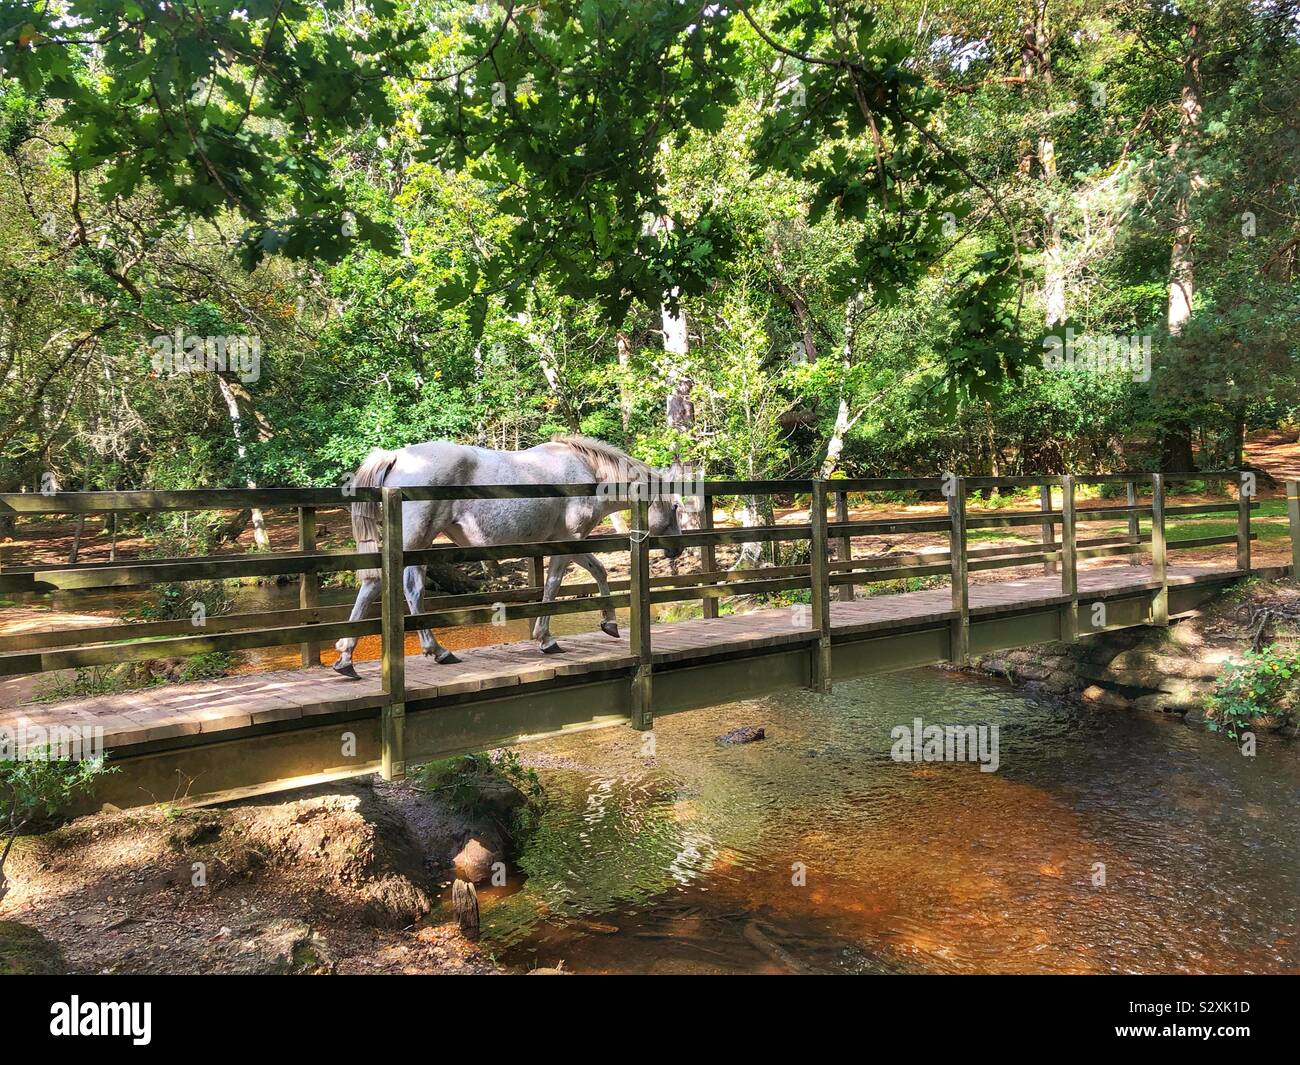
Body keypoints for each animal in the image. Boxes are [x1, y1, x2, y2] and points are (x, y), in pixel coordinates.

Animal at [331, 435, 688, 679]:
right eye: (675, 506)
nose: (677, 549)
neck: (588, 473)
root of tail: (395, 456)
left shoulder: (566, 542)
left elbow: (598, 571)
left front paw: (610, 624)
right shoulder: (568, 542)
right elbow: (554, 587)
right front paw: (546, 639)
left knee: (376, 583)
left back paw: (347, 658)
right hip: (417, 541)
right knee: (409, 588)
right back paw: (437, 650)